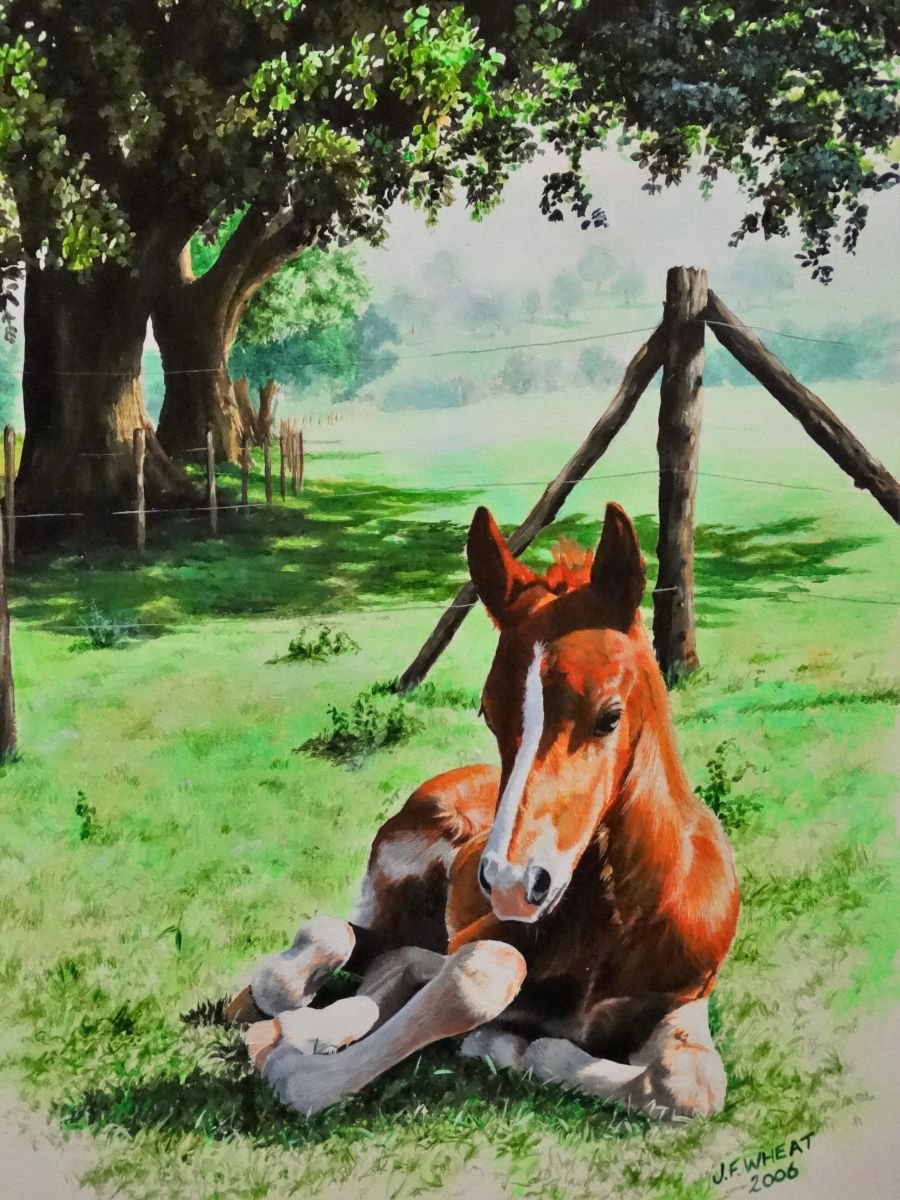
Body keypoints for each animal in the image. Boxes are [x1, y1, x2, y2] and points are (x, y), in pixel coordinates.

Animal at [228, 502, 740, 1121]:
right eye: (490, 714)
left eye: (610, 715)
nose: (514, 884)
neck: (623, 916)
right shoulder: (463, 944)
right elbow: (479, 971)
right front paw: (299, 1068)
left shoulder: (686, 997)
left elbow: (686, 1083)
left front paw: (523, 1050)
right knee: (337, 943)